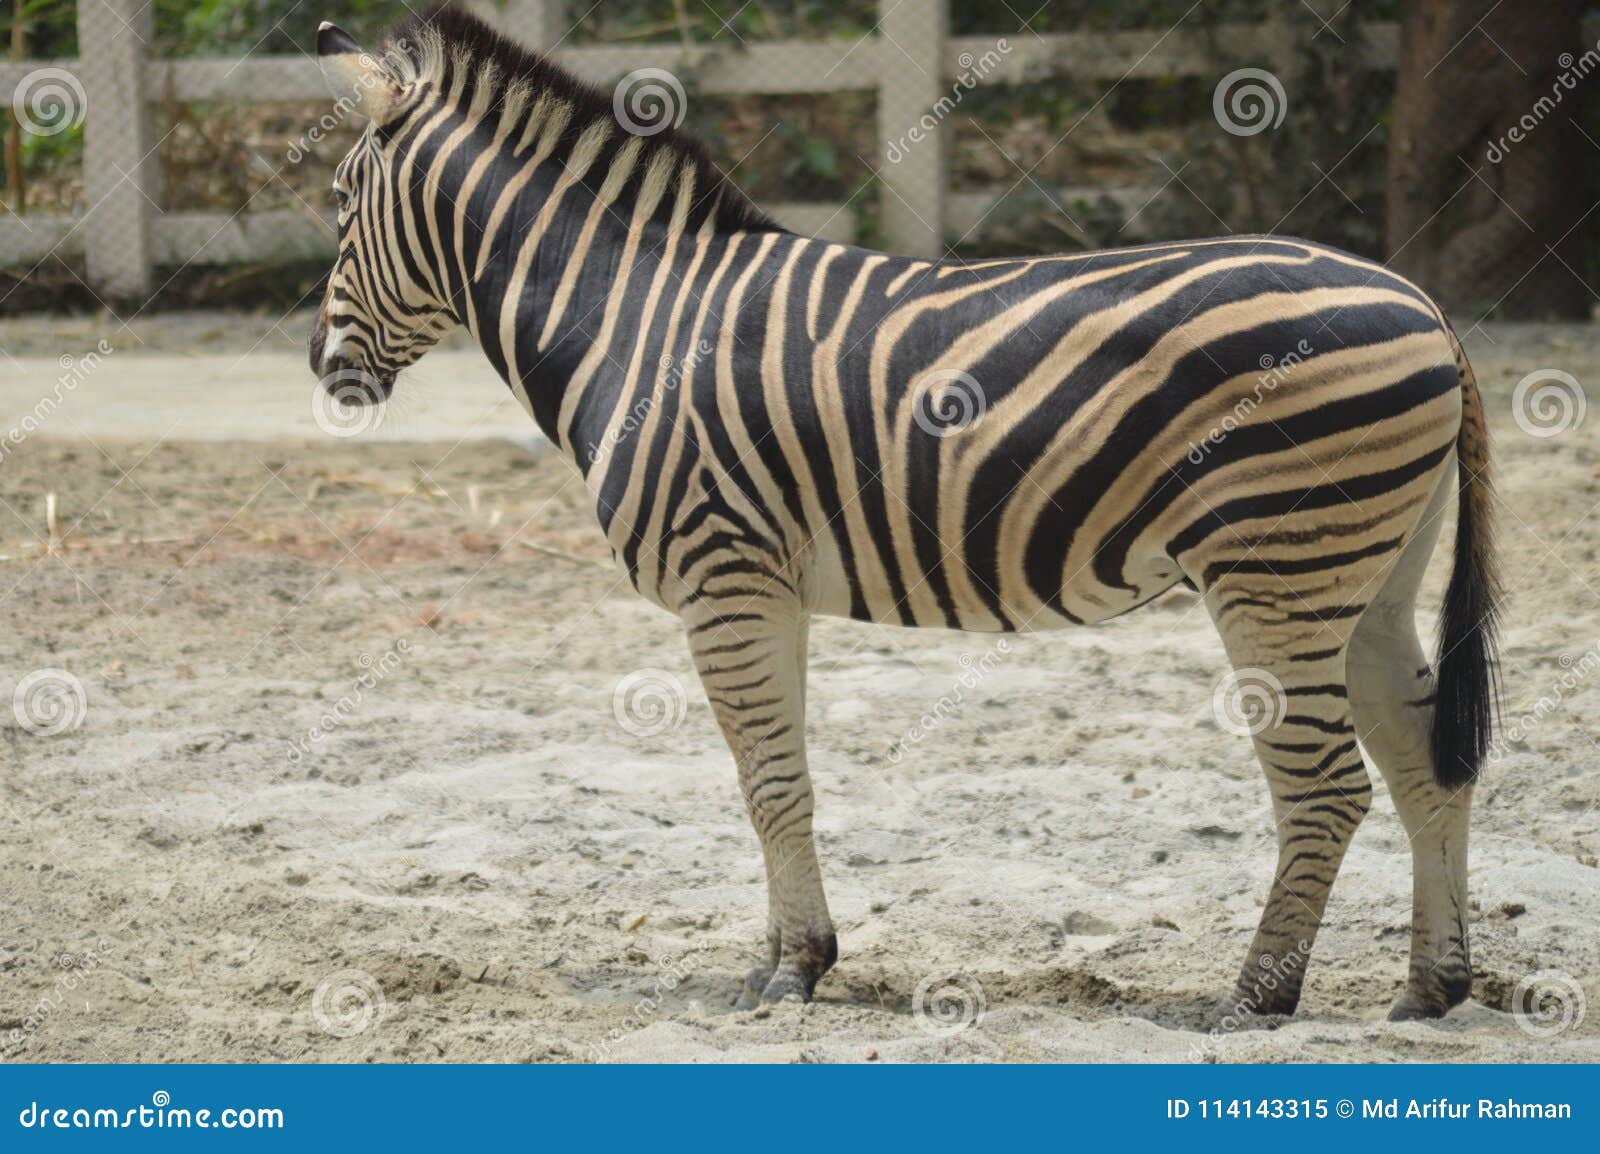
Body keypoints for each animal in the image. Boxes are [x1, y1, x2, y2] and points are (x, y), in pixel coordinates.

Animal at [309, 6, 1499, 1023]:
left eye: (340, 200)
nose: (324, 372)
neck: (634, 321)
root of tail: (1424, 305)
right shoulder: (766, 586)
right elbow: (780, 778)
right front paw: (793, 956)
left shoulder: (722, 574)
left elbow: (768, 784)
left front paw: (792, 971)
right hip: (1366, 579)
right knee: (1423, 762)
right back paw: (1429, 987)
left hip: (1275, 566)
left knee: (1325, 785)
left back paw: (1255, 998)